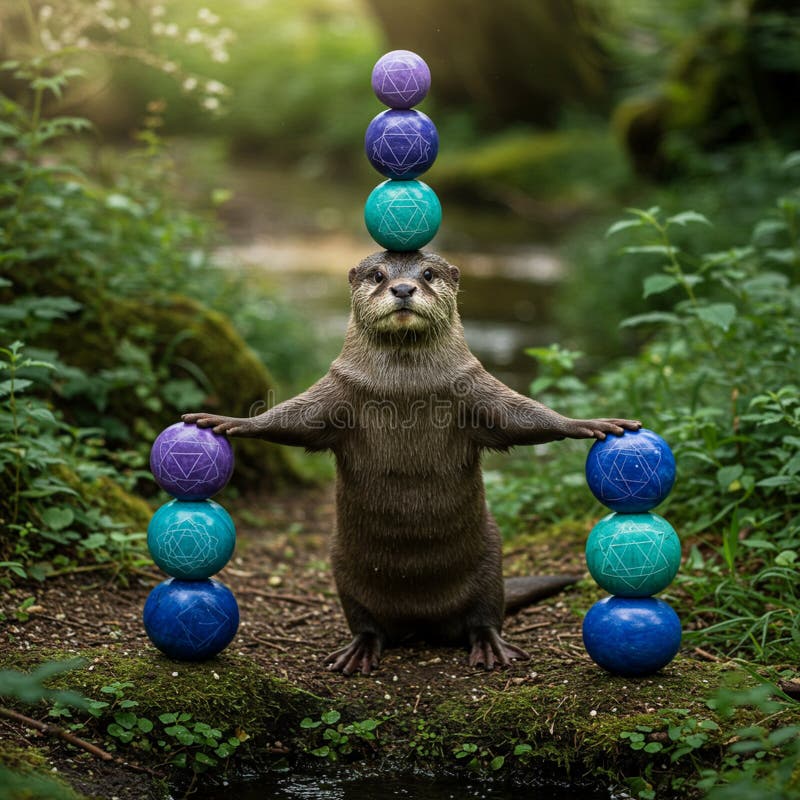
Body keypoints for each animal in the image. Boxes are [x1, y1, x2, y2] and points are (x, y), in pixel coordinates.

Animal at [183, 251, 640, 675]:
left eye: (428, 273)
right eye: (377, 275)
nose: (403, 288)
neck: (406, 387)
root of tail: (422, 622)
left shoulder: (475, 384)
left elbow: (522, 416)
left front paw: (590, 423)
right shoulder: (337, 386)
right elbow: (292, 419)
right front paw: (229, 422)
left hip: (491, 562)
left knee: (484, 616)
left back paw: (490, 646)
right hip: (343, 570)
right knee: (368, 624)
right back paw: (359, 651)